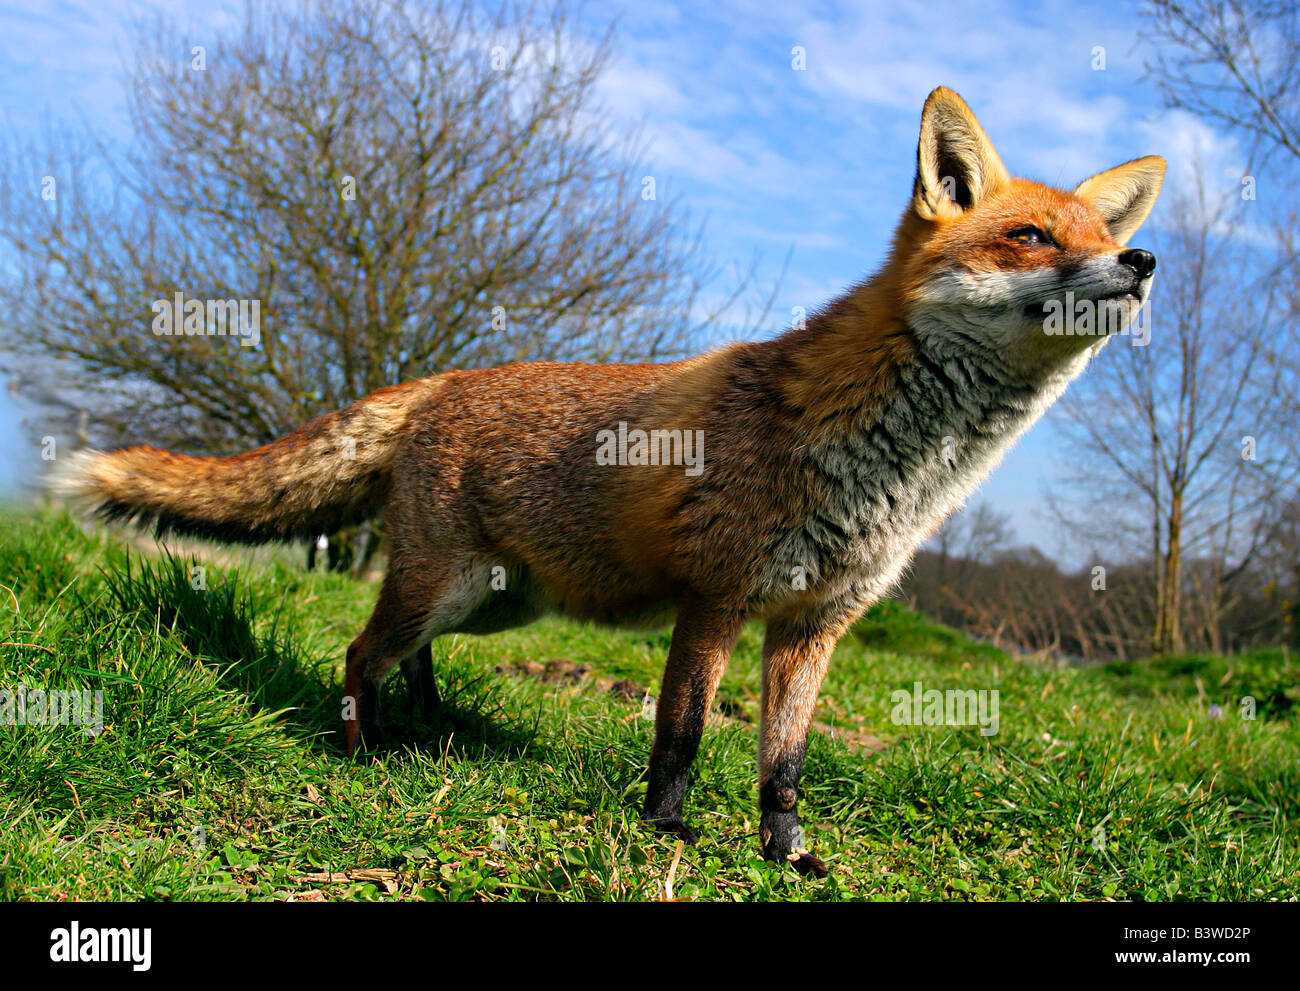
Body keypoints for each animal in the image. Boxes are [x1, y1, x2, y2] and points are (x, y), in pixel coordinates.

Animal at [55, 87, 1164, 876]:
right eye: (1031, 238)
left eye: (1104, 239)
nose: (1145, 261)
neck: (895, 470)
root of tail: (445, 378)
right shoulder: (718, 598)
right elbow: (681, 736)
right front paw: (665, 833)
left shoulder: (815, 624)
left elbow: (784, 766)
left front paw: (786, 856)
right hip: (447, 587)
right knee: (358, 652)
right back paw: (366, 751)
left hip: (496, 603)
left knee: (406, 656)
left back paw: (432, 727)